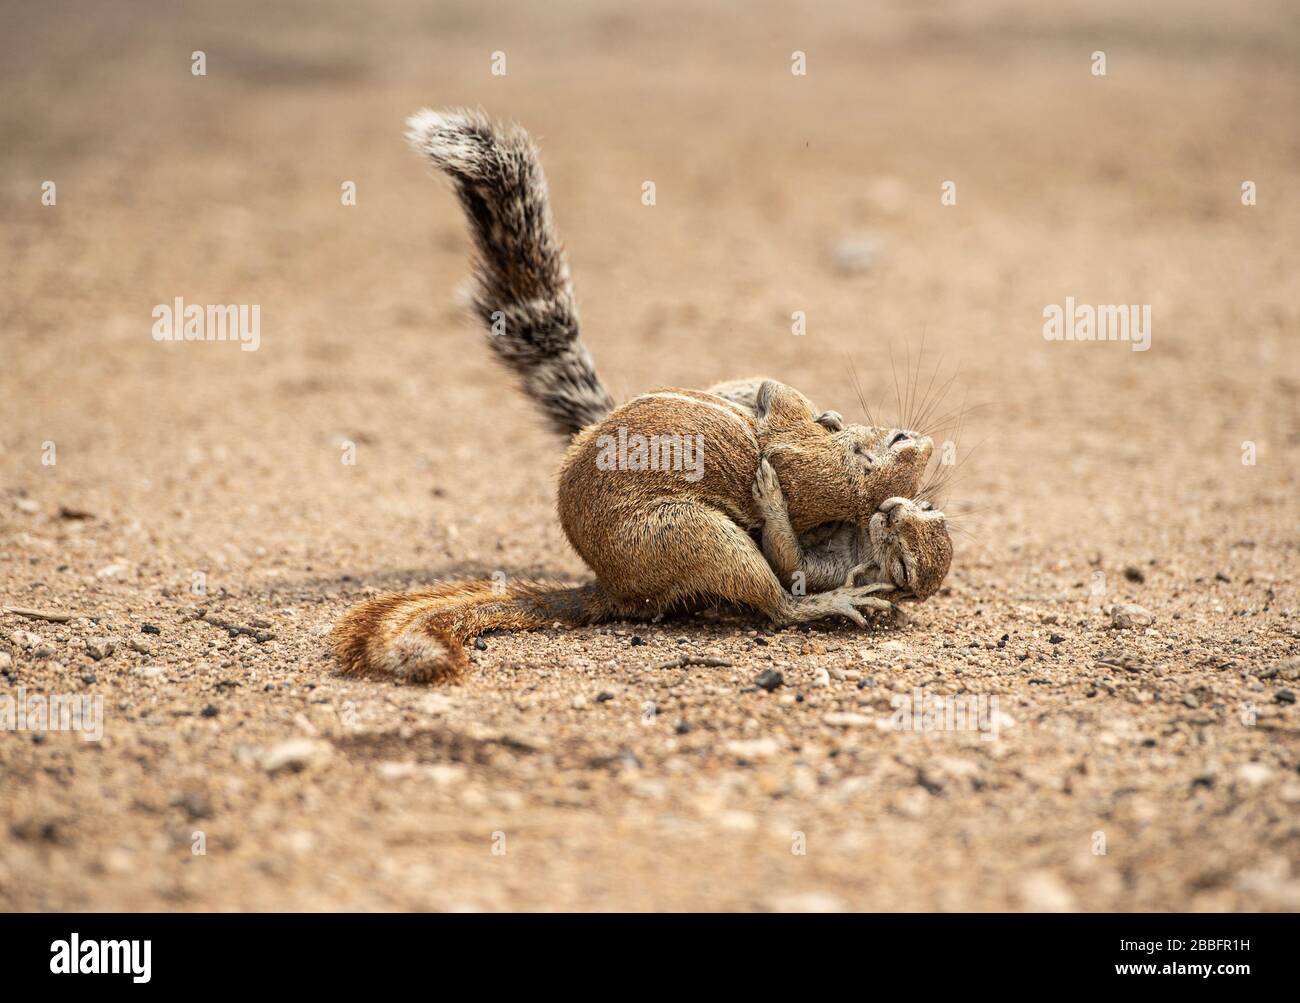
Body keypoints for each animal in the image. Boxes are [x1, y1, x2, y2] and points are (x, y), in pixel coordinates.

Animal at [329, 109, 951, 683]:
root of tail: (617, 589)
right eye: (903, 441)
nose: (925, 444)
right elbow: (771, 393)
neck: (848, 489)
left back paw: (823, 602)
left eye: (904, 563)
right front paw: (827, 412)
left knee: (775, 604)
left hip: (697, 537)